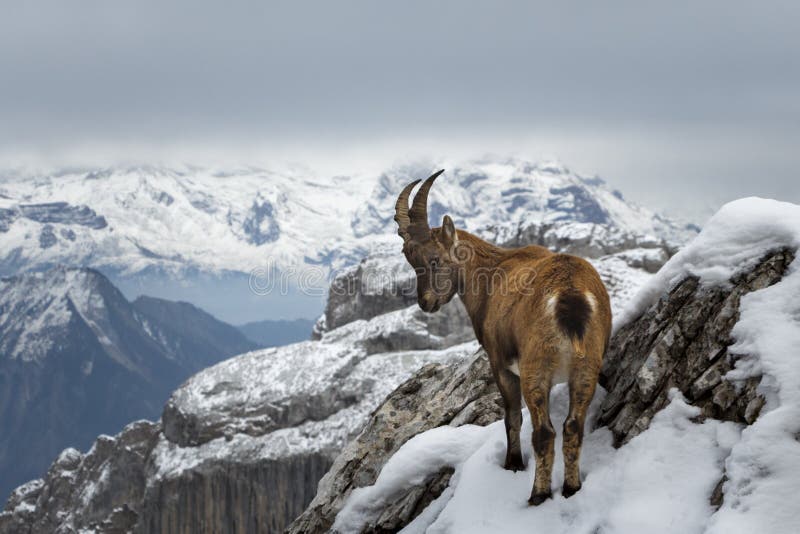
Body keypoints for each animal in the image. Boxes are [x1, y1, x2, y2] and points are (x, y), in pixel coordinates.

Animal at [394, 170, 612, 505]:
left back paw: (538, 495)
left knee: (544, 432)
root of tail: (570, 297)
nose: (426, 303)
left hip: (536, 370)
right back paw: (571, 489)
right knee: (573, 427)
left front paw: (513, 463)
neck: (490, 272)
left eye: (434, 259)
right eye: (410, 258)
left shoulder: (500, 364)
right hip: (586, 367)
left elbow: (512, 417)